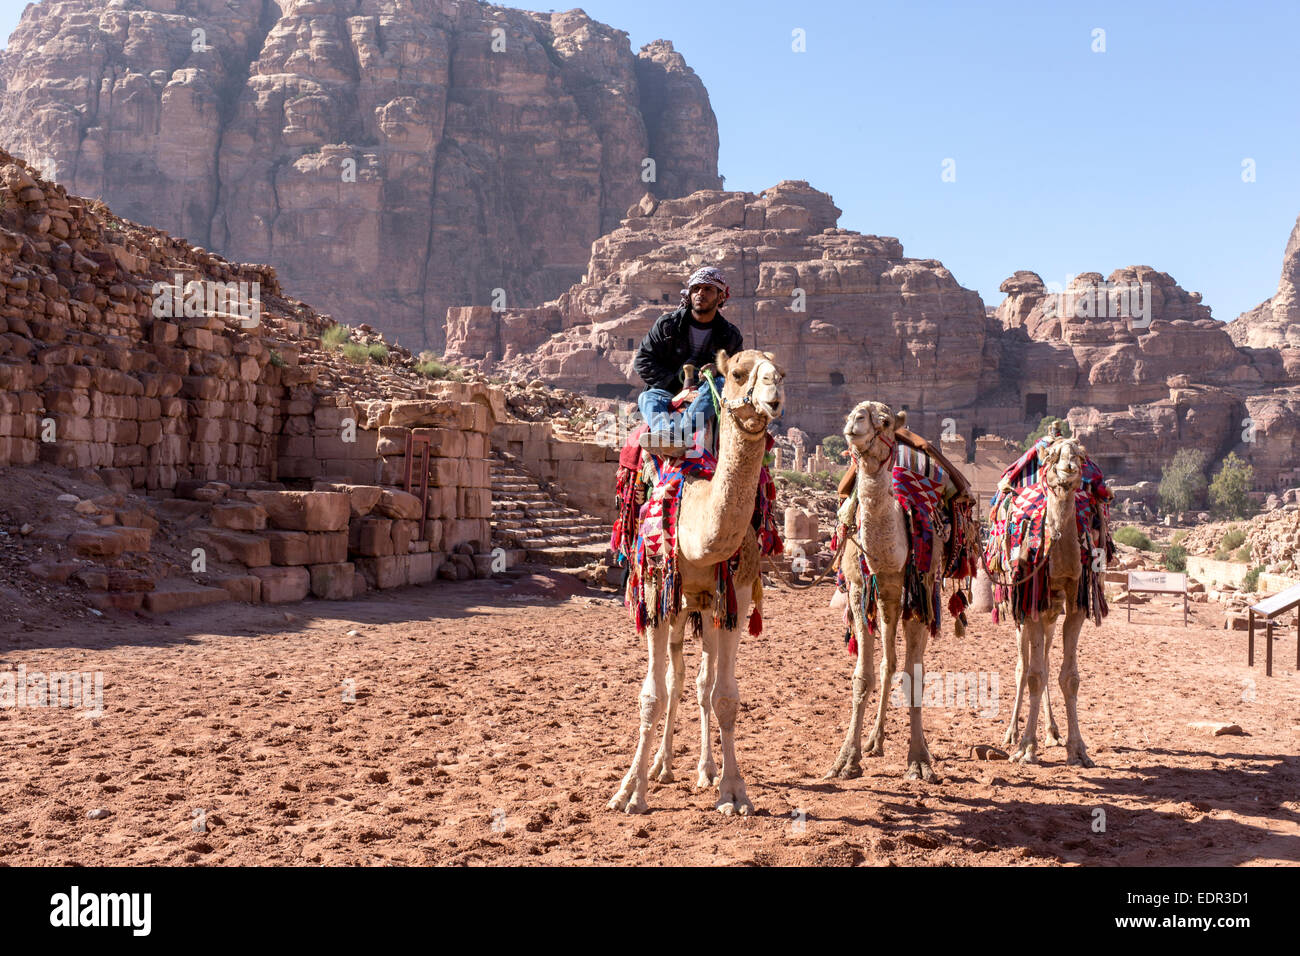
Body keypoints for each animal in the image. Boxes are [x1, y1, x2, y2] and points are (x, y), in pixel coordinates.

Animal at [608, 348, 786, 815]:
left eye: (781, 373)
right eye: (738, 373)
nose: (773, 395)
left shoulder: (734, 592)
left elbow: (724, 696)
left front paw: (734, 792)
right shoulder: (657, 588)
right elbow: (651, 696)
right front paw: (630, 793)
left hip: (702, 605)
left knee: (701, 684)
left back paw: (704, 770)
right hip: (676, 604)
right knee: (675, 680)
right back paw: (661, 767)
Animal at [826, 401, 942, 782]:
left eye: (887, 421)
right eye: (851, 412)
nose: (855, 421)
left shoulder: (918, 594)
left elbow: (915, 676)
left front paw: (919, 761)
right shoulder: (859, 592)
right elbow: (863, 676)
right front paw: (846, 760)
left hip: (907, 599)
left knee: (900, 663)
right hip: (885, 600)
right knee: (887, 662)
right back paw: (874, 742)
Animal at [1002, 435, 1095, 767]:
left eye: (1079, 455)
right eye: (1053, 456)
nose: (1068, 468)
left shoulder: (1076, 600)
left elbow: (1069, 677)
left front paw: (1077, 749)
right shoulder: (1031, 600)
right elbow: (1034, 675)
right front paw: (1026, 747)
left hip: (1051, 613)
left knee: (1044, 659)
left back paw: (1053, 732)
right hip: (1020, 609)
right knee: (1024, 666)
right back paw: (1011, 735)